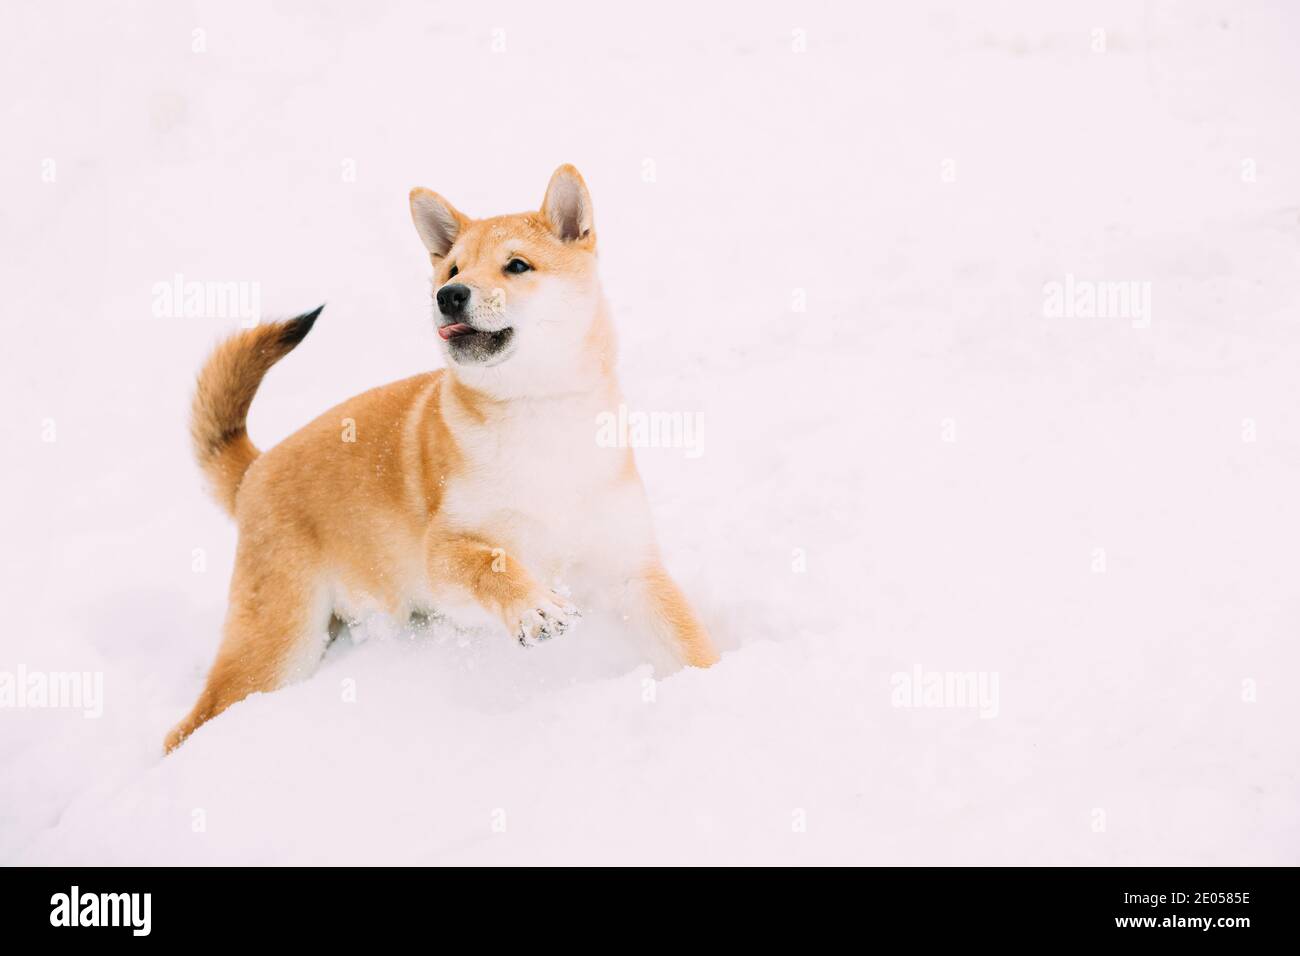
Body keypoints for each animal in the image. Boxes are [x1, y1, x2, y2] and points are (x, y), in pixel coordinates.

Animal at [165, 166, 722, 754]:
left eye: (517, 264)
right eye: (453, 268)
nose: (449, 295)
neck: (538, 415)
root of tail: (256, 469)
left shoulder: (632, 569)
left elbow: (686, 639)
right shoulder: (443, 551)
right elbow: (492, 563)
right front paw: (533, 607)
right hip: (278, 641)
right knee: (192, 723)